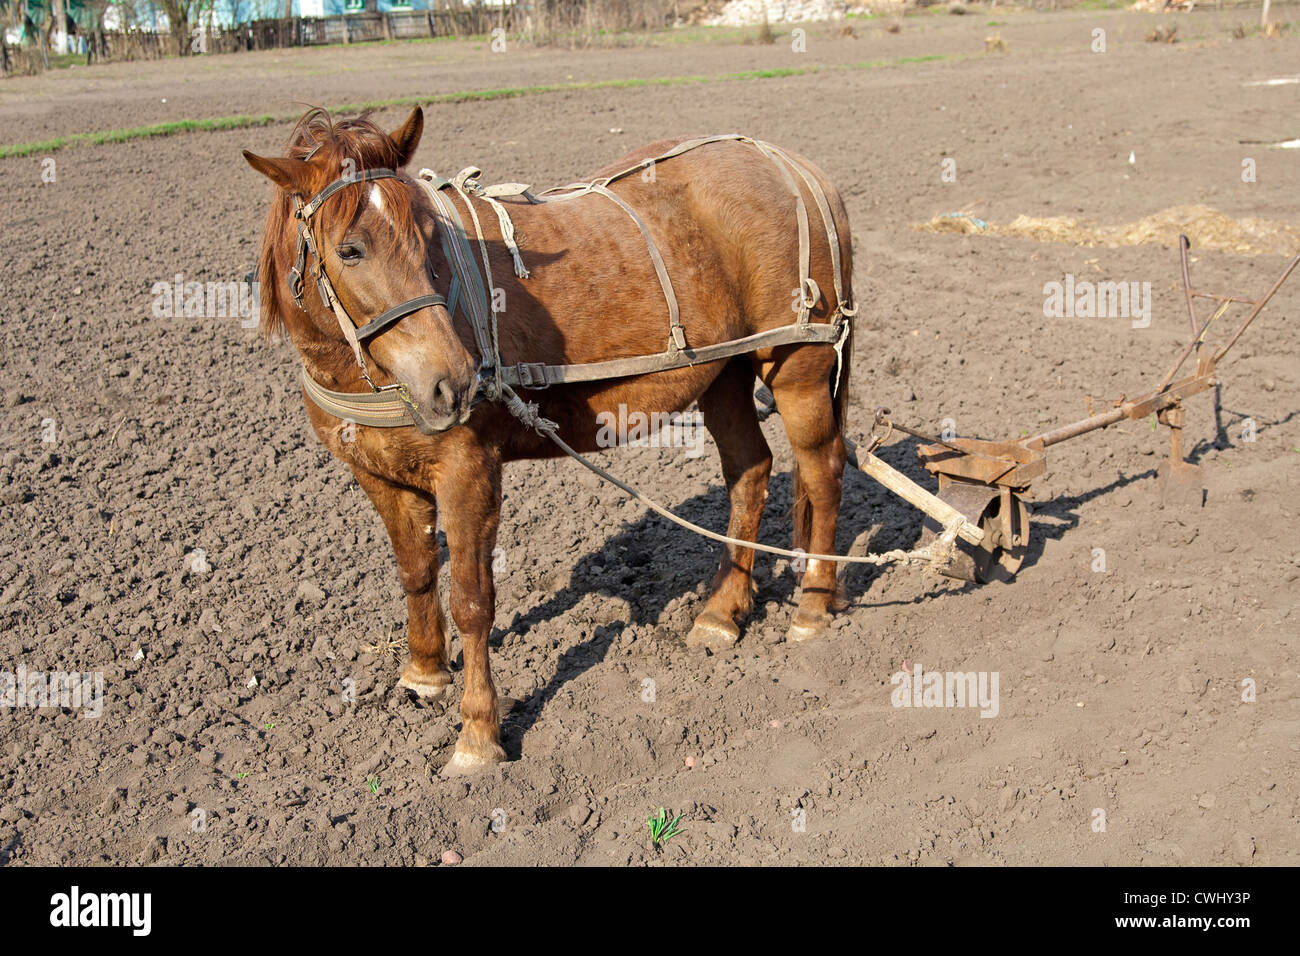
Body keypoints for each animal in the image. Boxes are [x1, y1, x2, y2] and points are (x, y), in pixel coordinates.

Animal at [242, 107, 855, 775]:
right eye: (349, 250)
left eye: (429, 240)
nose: (452, 383)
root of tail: (796, 166)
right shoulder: (378, 476)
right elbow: (415, 574)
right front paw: (423, 674)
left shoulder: (468, 471)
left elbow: (472, 601)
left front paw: (478, 733)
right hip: (723, 373)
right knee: (750, 469)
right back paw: (722, 613)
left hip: (798, 368)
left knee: (822, 473)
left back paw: (814, 606)